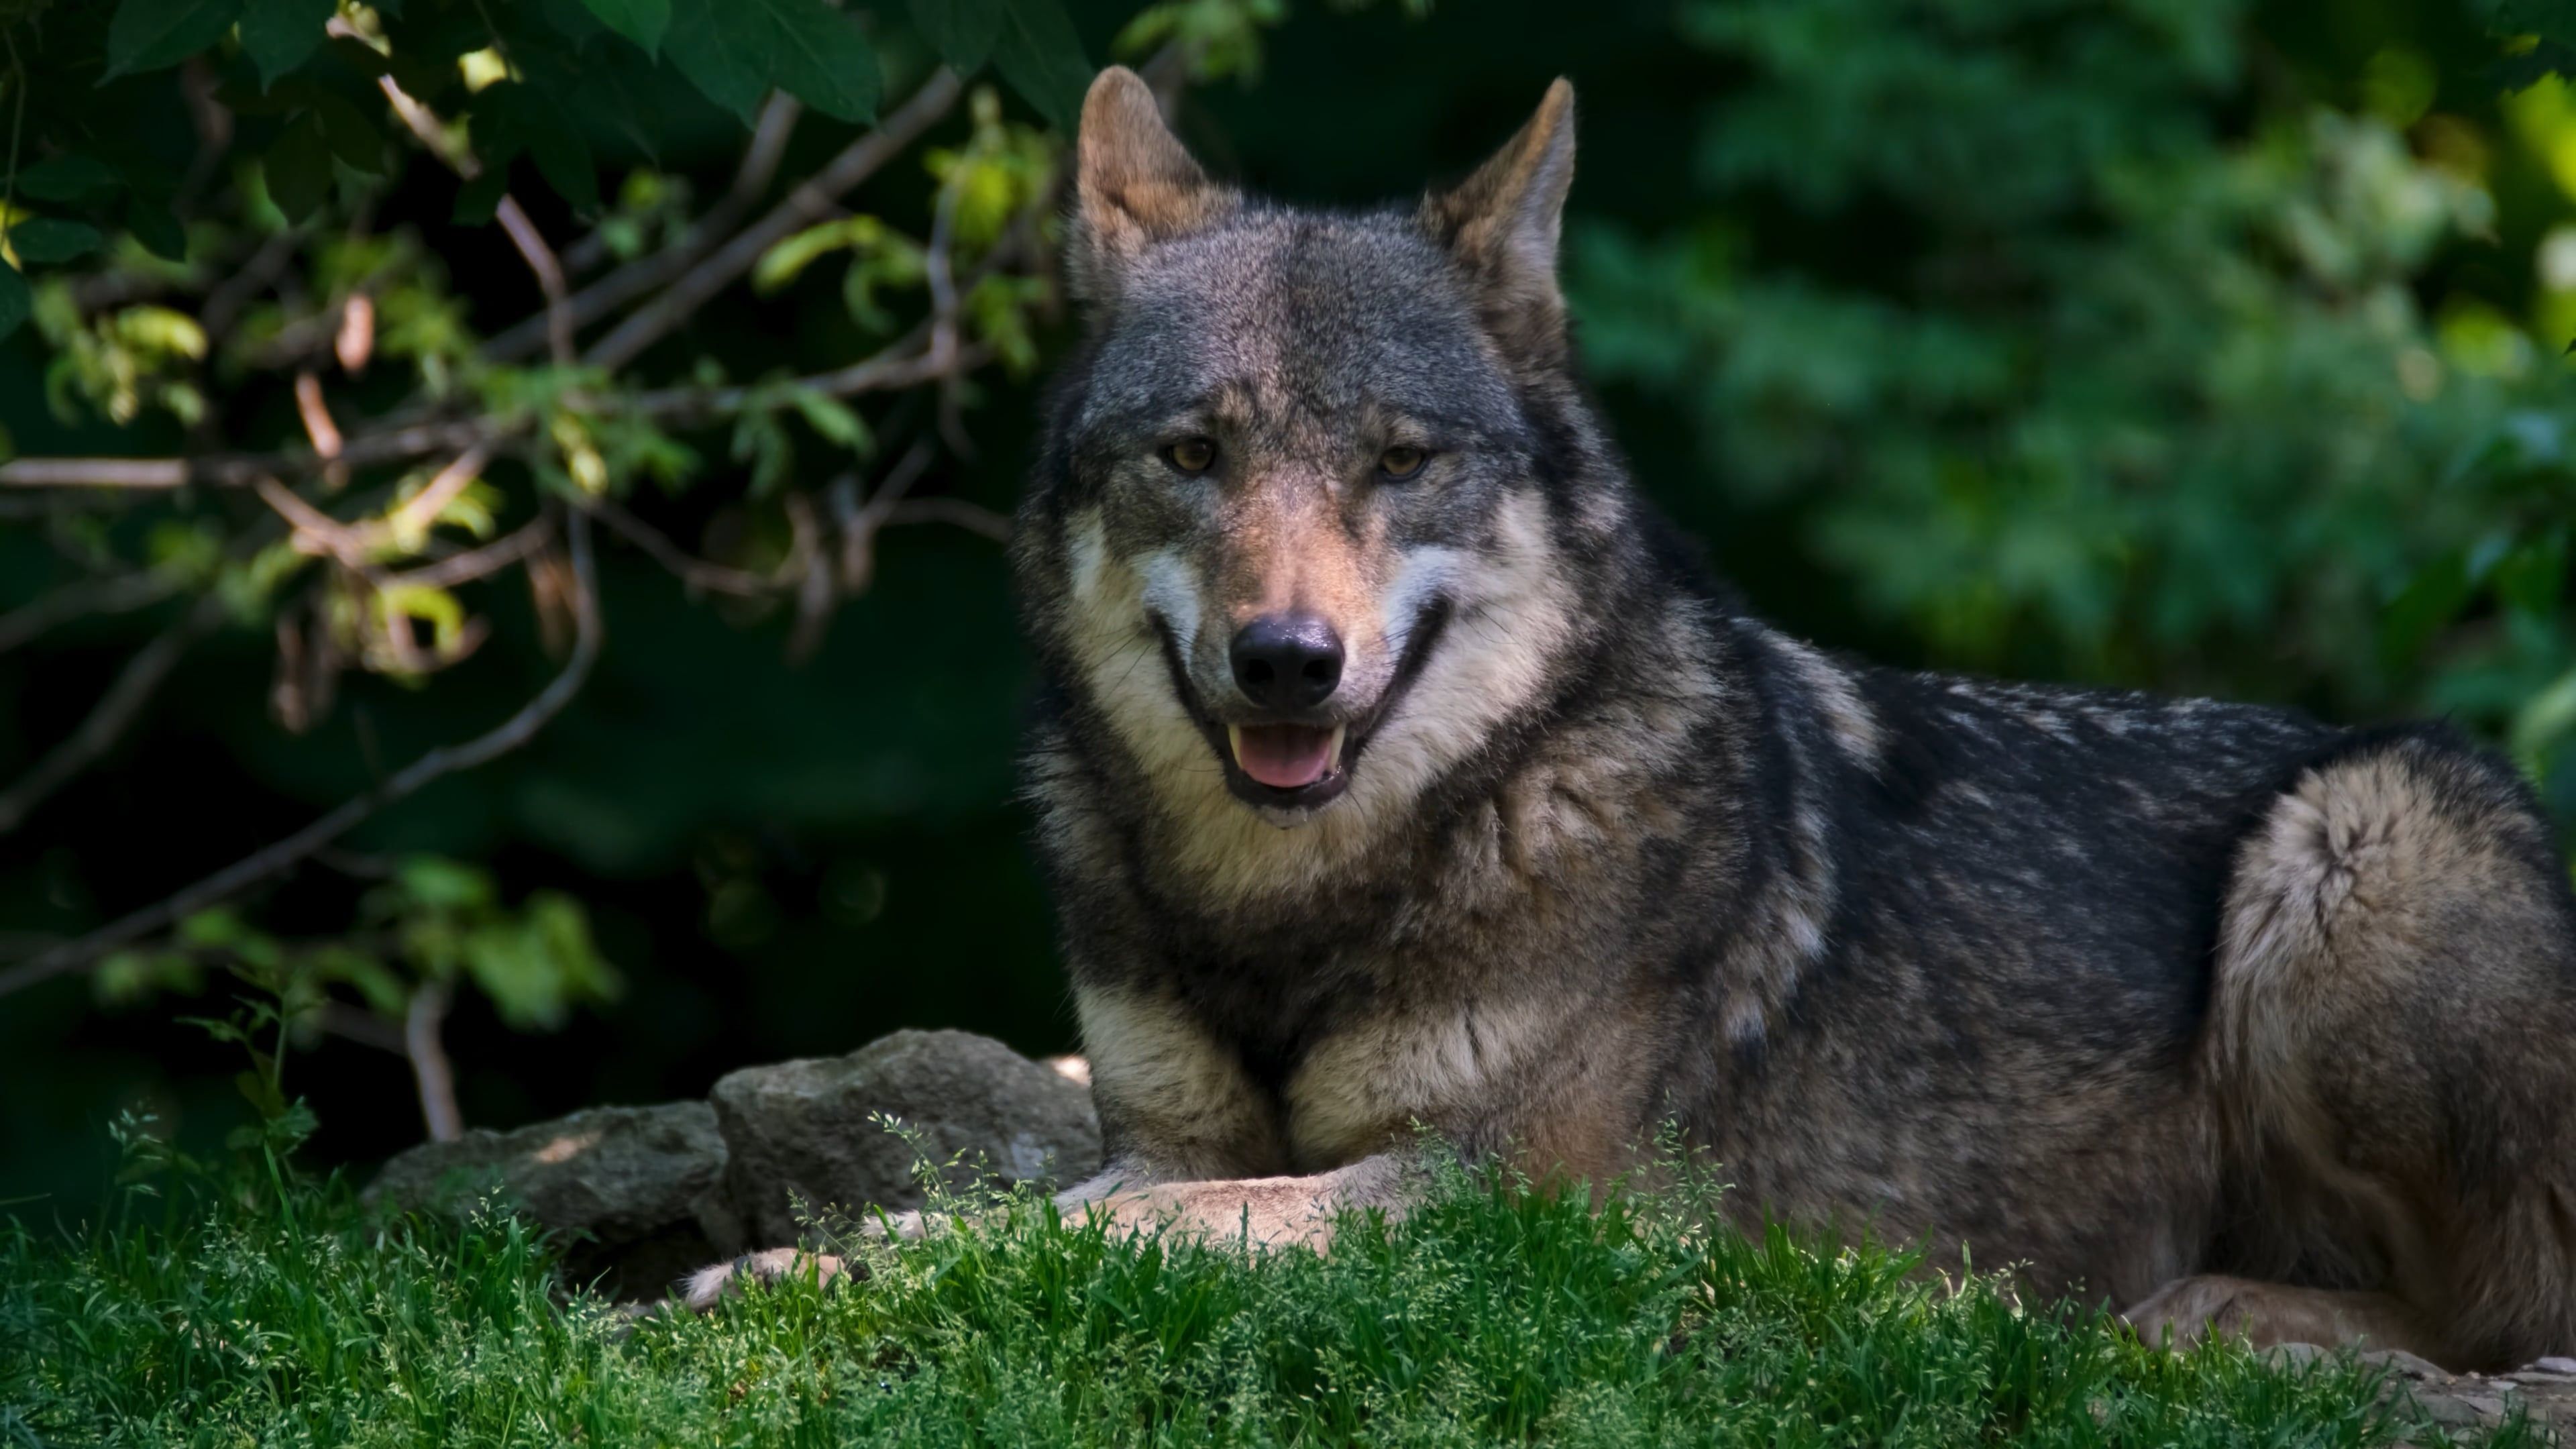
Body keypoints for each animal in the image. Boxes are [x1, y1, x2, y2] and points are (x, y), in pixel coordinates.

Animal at [694, 66, 2576, 1370]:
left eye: (1400, 459)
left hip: (2358, 835)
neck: (1295, 919)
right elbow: (1002, 1208)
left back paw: (2183, 1312)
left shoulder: (1505, 1201)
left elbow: (1148, 1227)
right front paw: (781, 1270)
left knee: (2498, 1323)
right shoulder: (1155, 1129)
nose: (1288, 660)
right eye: (1194, 454)